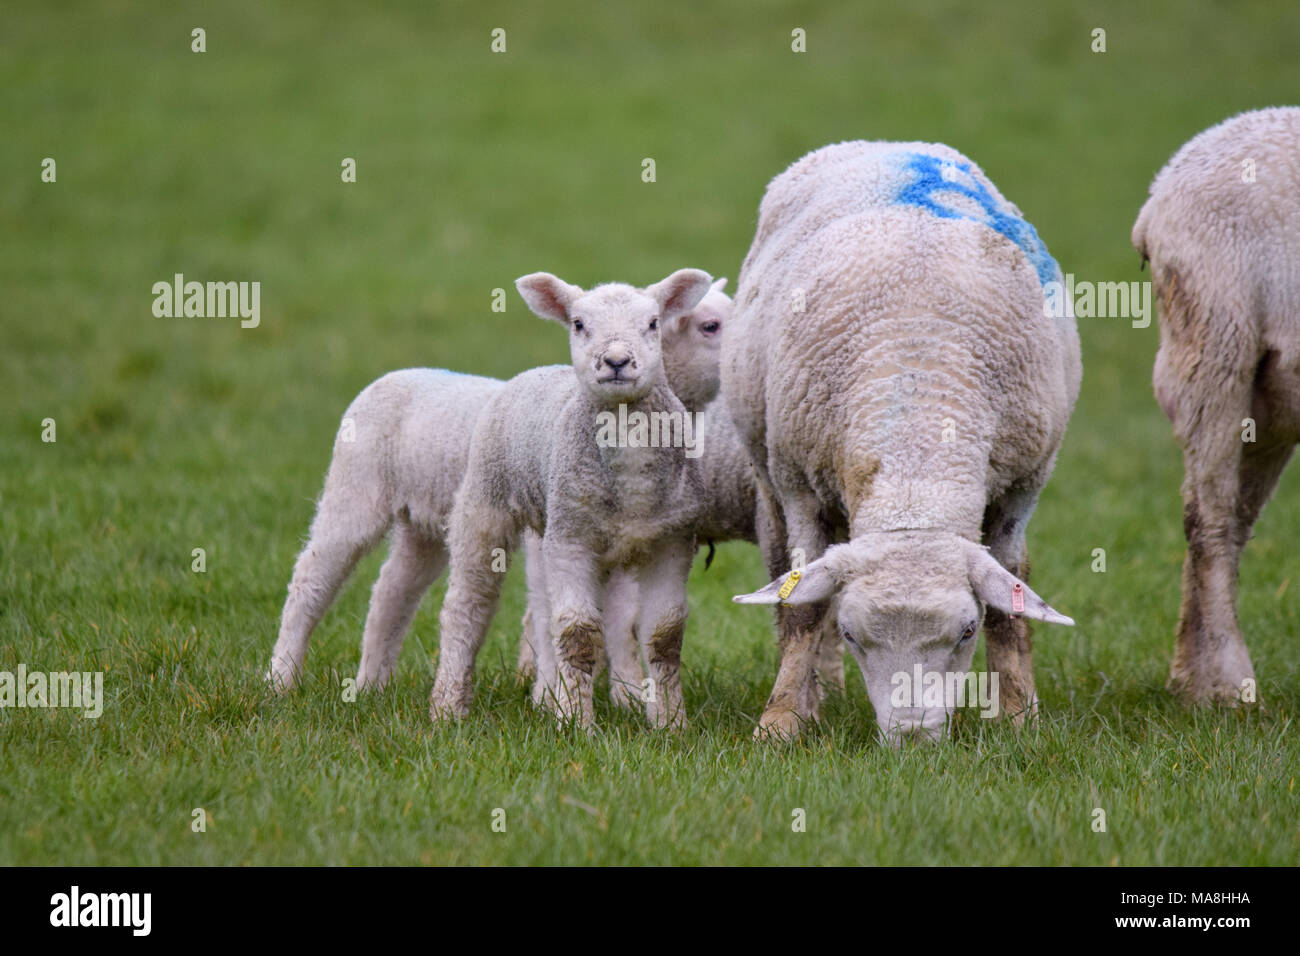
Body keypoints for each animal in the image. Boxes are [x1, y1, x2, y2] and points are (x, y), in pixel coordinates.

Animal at [266, 279, 727, 694]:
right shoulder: (549, 536)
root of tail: (398, 373)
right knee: (312, 577)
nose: (616, 362)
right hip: (355, 490)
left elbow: (621, 616)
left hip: (424, 523)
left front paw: (627, 694)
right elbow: (546, 613)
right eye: (711, 325)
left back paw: (370, 686)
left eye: (652, 323)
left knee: (392, 590)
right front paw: (550, 694)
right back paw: (281, 680)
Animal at [428, 268, 715, 729]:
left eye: (653, 323)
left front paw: (671, 724)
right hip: (486, 501)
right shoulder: (572, 541)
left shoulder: (671, 540)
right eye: (579, 324)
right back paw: (448, 707)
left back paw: (549, 698)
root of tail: (539, 371)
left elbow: (664, 637)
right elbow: (579, 635)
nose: (616, 361)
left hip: (553, 527)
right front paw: (579, 726)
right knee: (467, 606)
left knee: (545, 614)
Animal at [723, 140, 1081, 743]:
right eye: (853, 635)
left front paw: (1018, 714)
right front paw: (782, 722)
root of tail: (879, 144)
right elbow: (801, 610)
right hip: (771, 475)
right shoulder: (800, 487)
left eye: (966, 631)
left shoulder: (1023, 487)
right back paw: (815, 698)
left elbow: (1011, 604)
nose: (911, 738)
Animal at [1131, 106, 1300, 705]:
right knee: (1210, 518)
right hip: (1215, 346)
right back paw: (1227, 683)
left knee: (1233, 516)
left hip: (1270, 398)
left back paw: (1191, 679)